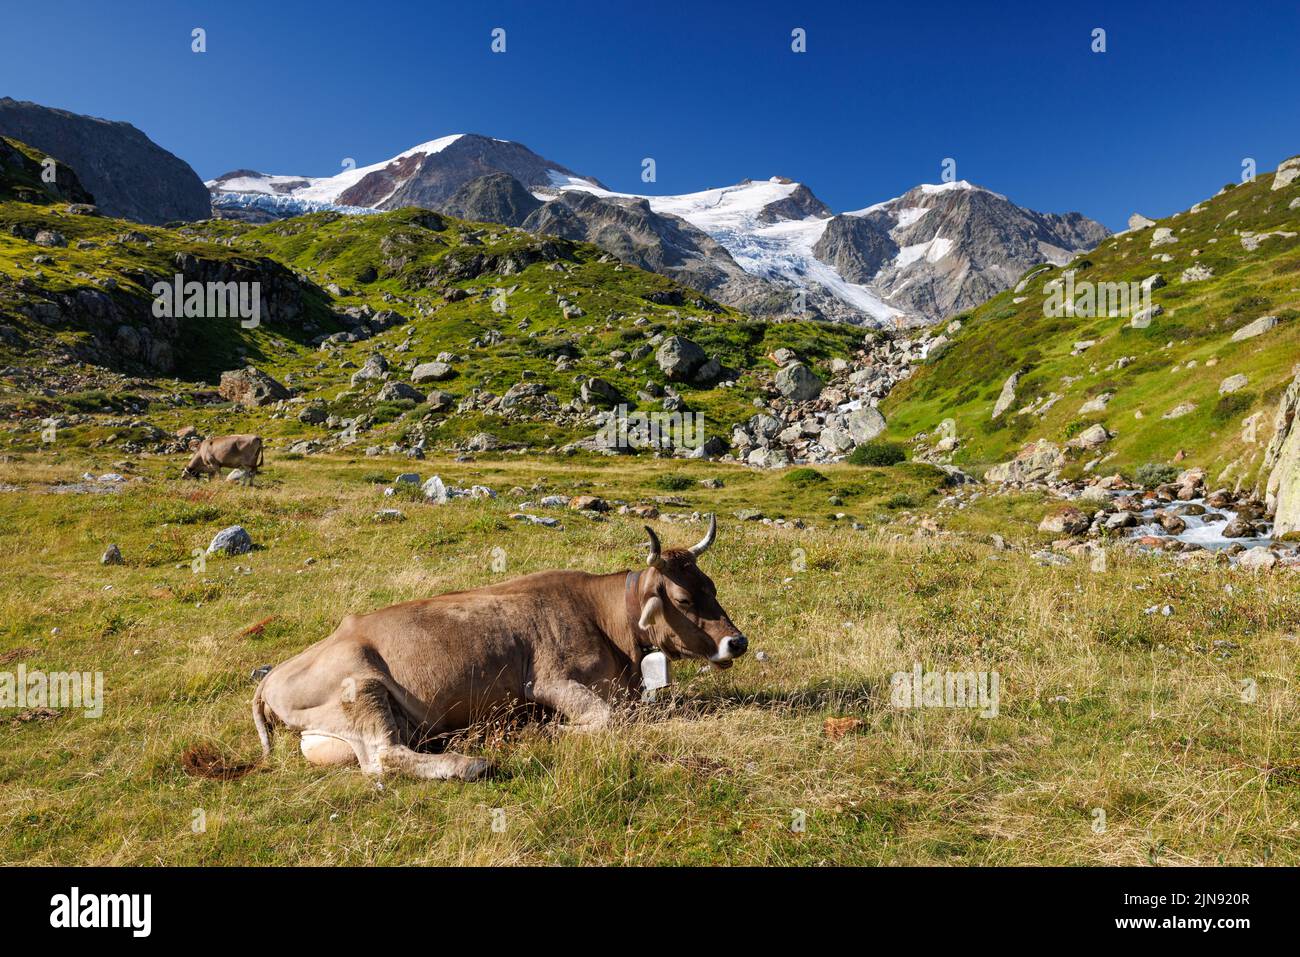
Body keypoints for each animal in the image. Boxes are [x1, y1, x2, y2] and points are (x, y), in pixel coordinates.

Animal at [251, 515, 747, 780]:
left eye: (711, 586)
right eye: (683, 599)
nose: (737, 641)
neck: (602, 617)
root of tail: (271, 677)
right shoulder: (547, 681)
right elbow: (607, 719)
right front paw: (545, 731)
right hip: (362, 686)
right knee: (382, 758)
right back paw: (472, 763)